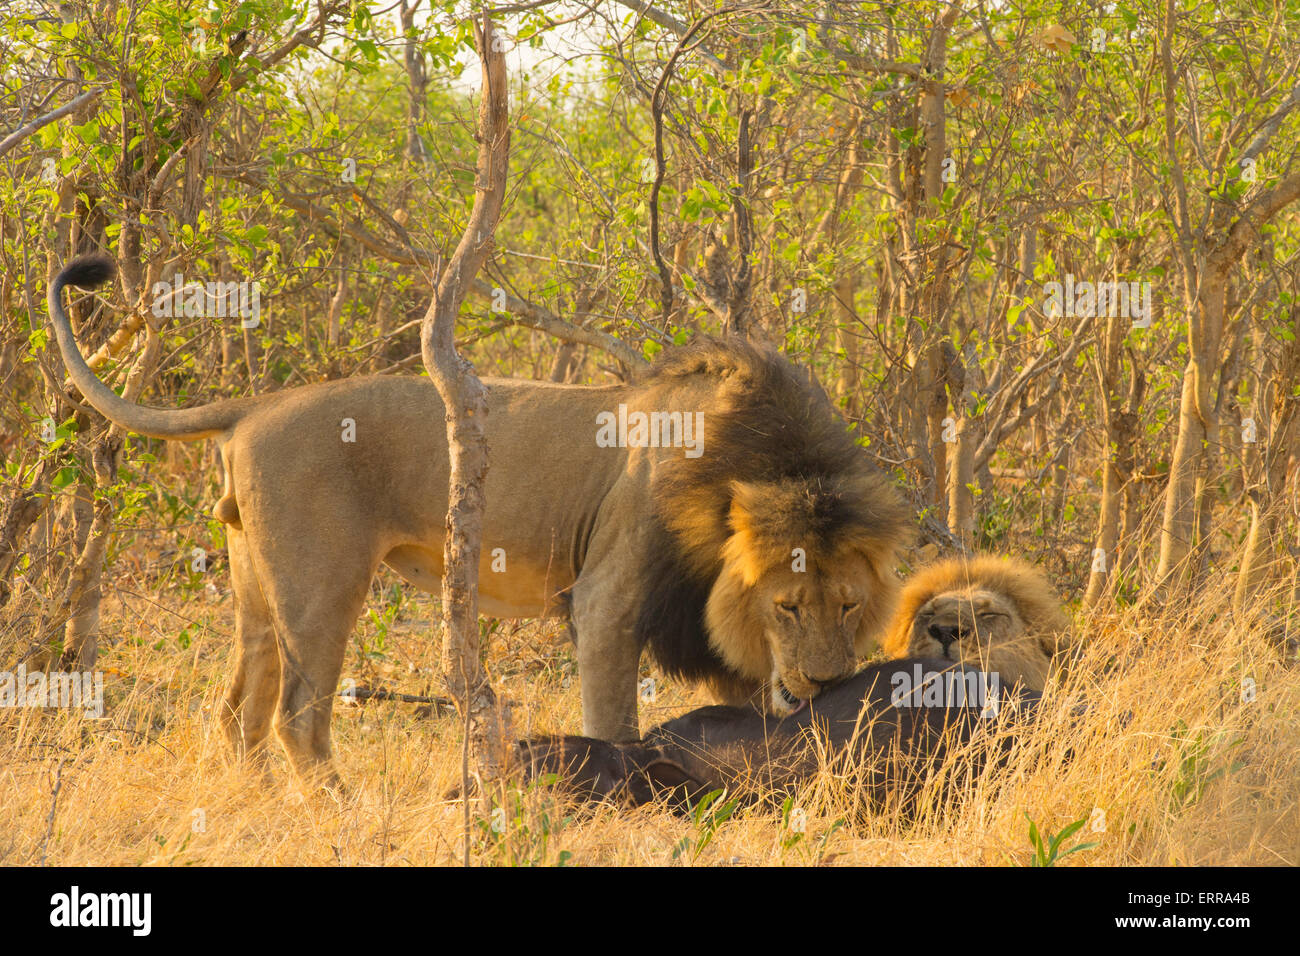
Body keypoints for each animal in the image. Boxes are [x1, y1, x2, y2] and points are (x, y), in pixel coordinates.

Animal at [49, 255, 911, 783]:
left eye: (849, 604)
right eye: (787, 606)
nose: (828, 682)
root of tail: (257, 406)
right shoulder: (606, 600)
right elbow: (615, 721)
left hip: (255, 590)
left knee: (237, 713)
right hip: (321, 587)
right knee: (296, 716)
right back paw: (342, 810)